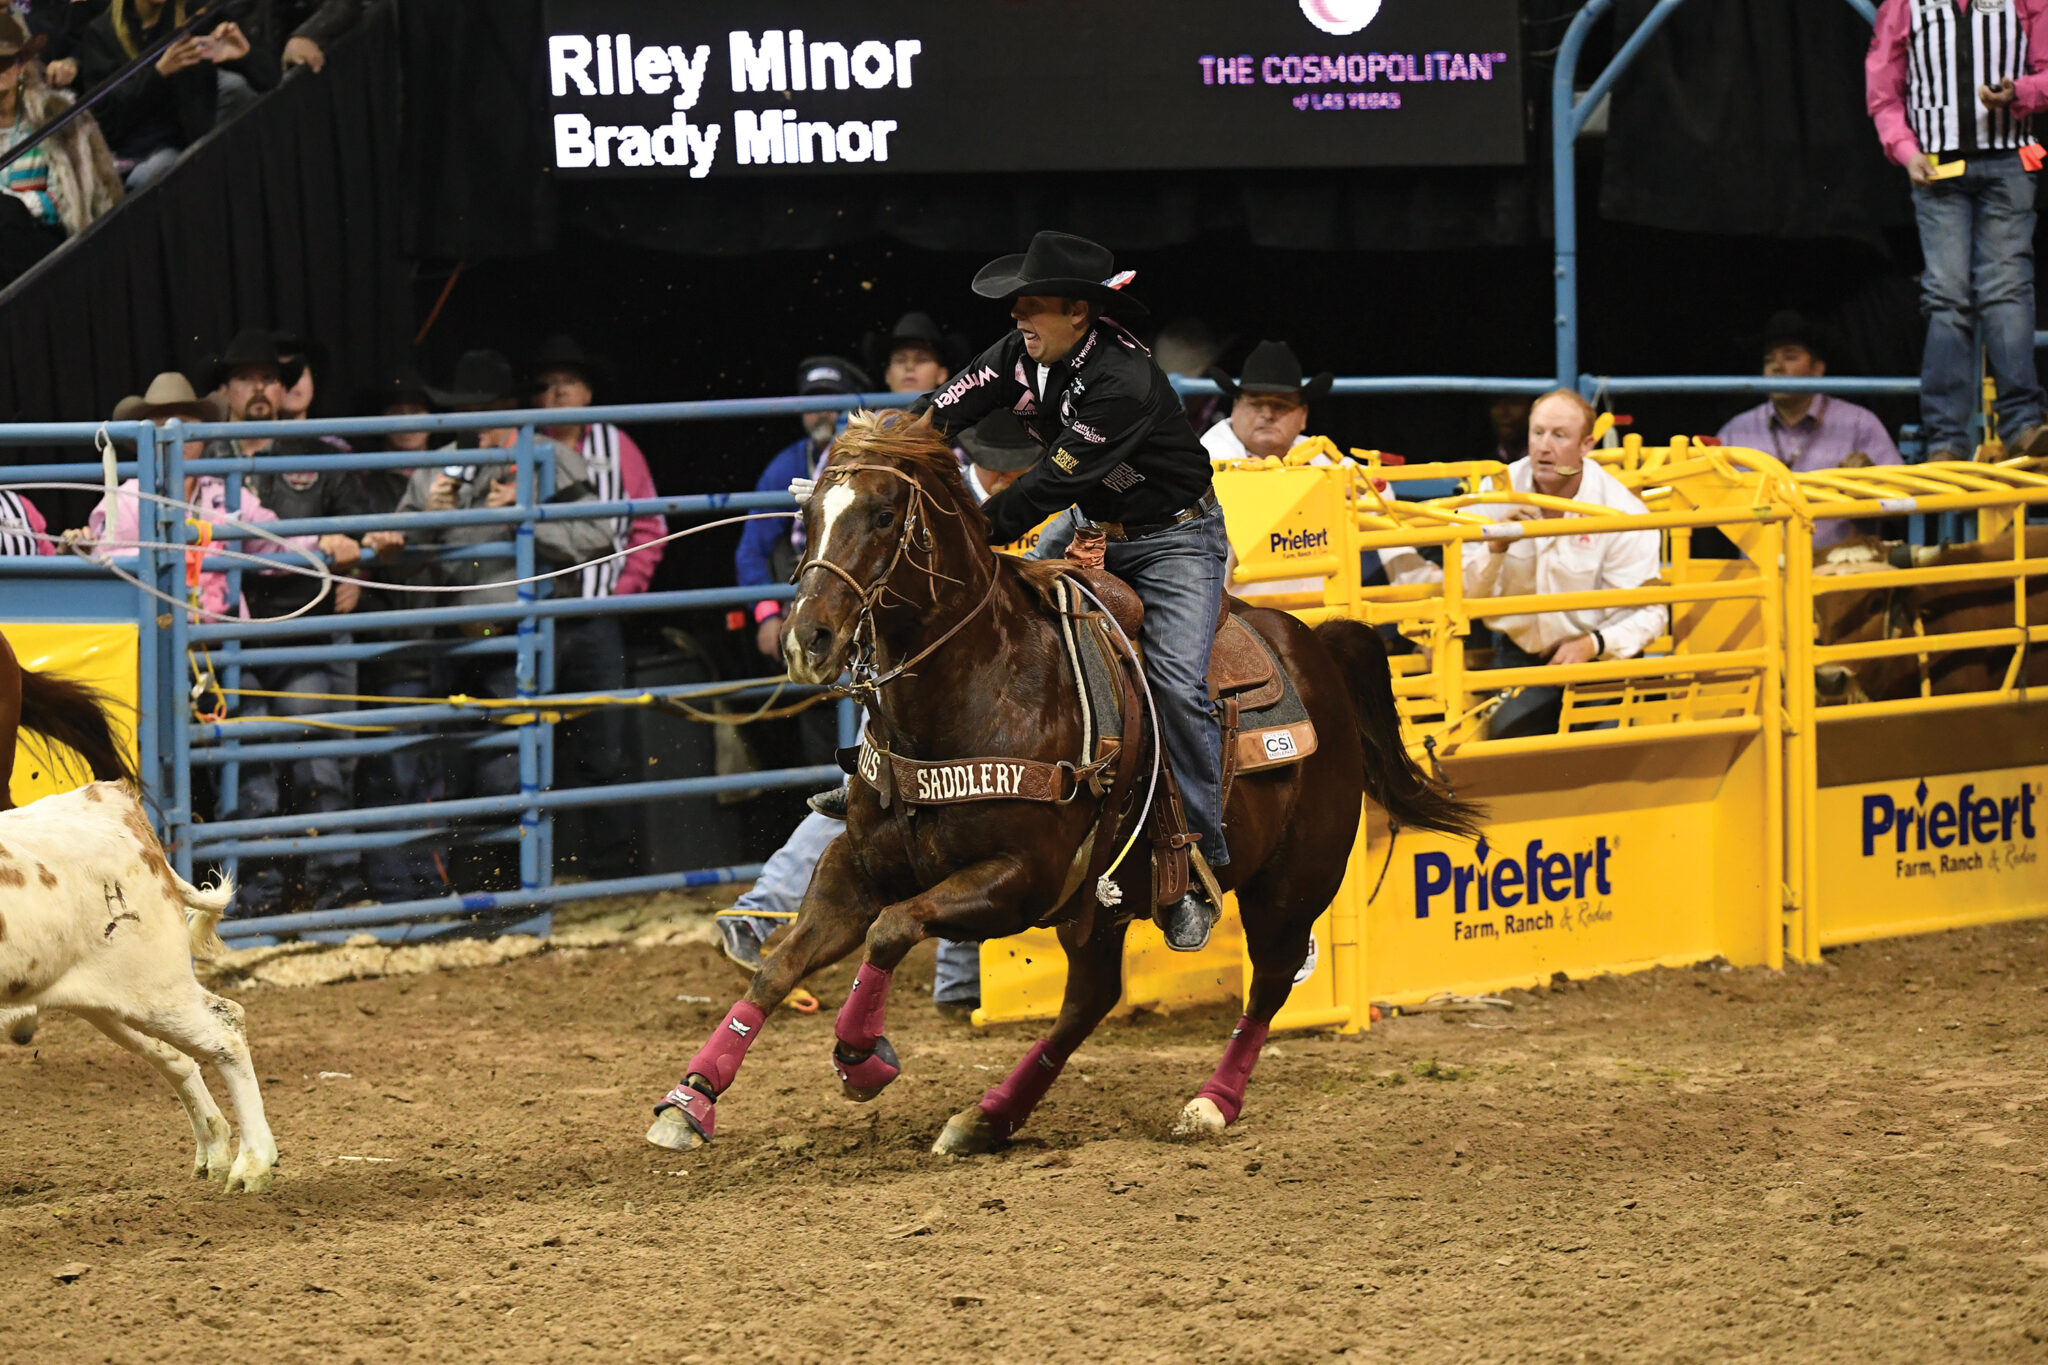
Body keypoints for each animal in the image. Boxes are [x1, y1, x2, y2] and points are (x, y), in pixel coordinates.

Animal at [646, 410, 1483, 1155]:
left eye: (884, 516)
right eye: (813, 513)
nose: (807, 640)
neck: (976, 687)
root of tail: (1318, 644)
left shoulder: (1017, 879)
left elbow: (892, 928)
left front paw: (861, 1058)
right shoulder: (857, 865)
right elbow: (781, 962)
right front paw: (691, 1098)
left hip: (1293, 879)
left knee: (1268, 982)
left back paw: (1210, 1103)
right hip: (1105, 905)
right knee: (1088, 1001)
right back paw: (988, 1119)